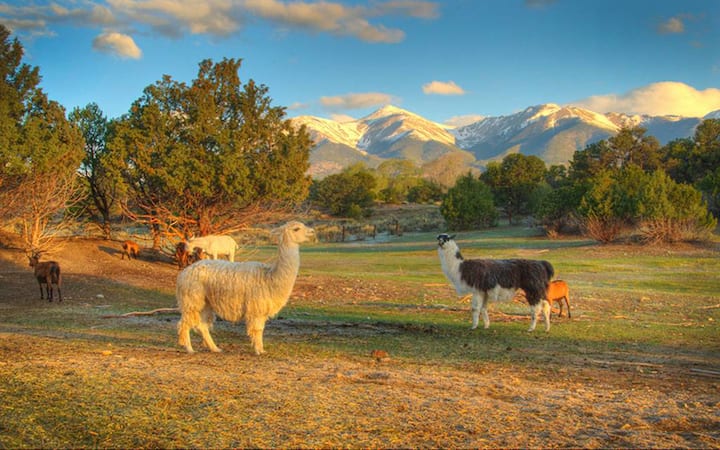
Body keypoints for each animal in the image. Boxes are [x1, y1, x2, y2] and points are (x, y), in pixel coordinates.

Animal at [176, 221, 315, 355]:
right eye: (296, 229)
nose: (312, 231)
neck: (270, 277)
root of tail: (185, 272)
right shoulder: (256, 307)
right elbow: (257, 329)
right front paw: (259, 350)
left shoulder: (261, 308)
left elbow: (260, 329)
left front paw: (261, 349)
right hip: (192, 298)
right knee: (185, 323)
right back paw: (189, 349)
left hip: (205, 302)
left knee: (202, 325)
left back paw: (215, 348)